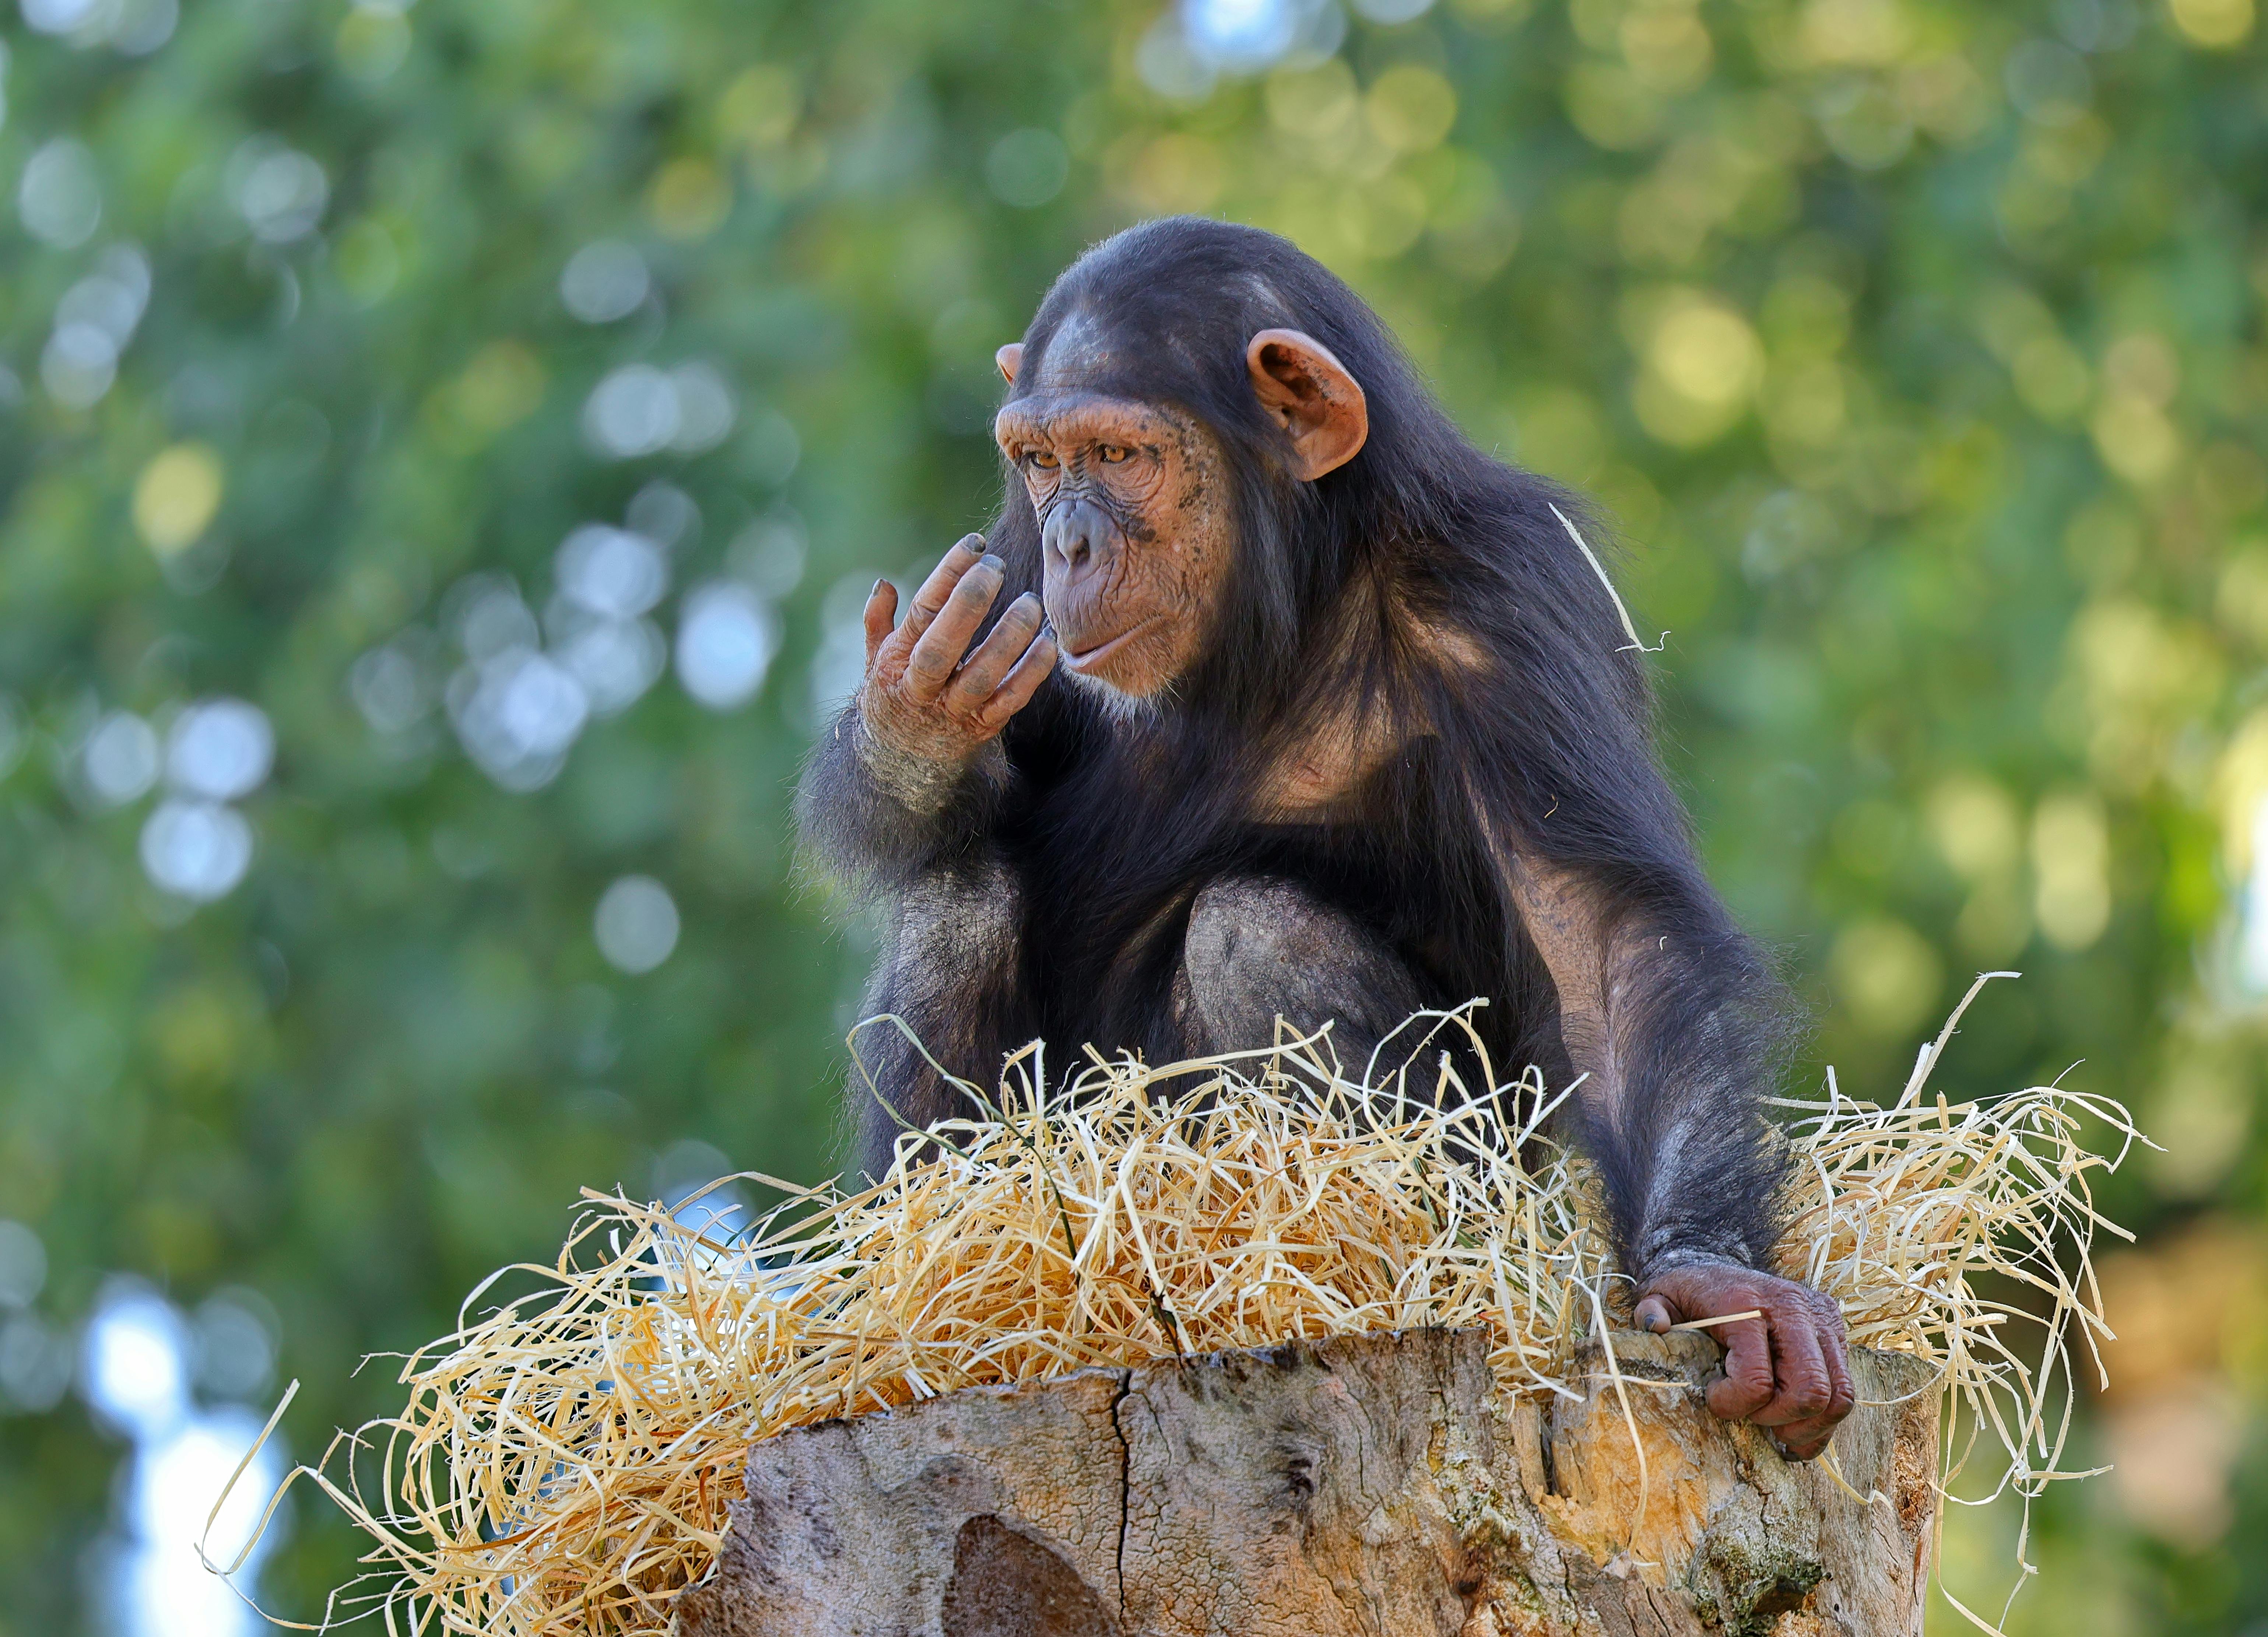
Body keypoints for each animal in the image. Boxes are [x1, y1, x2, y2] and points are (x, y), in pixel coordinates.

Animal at [795, 217, 1853, 1459]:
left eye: (1121, 452)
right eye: (1041, 459)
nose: (1070, 542)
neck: (1294, 586)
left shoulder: (1507, 593)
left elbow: (1599, 927)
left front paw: (1714, 1279)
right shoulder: (1000, 558)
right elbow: (958, 815)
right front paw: (915, 713)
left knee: (1256, 929)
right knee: (956, 898)